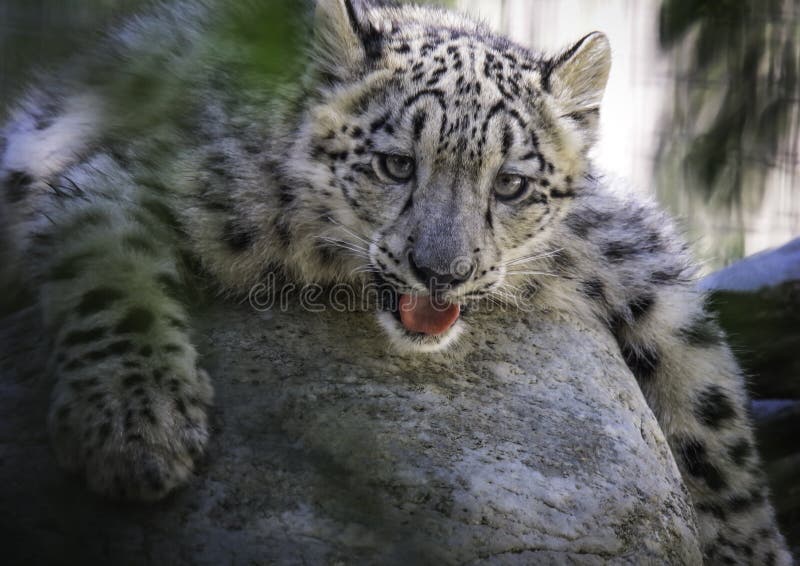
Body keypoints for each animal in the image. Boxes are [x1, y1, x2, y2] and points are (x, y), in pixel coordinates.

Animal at [0, 0, 792, 563]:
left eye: (510, 183)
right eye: (395, 164)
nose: (442, 271)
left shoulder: (627, 254)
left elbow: (711, 406)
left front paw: (746, 545)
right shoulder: (135, 180)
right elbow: (109, 283)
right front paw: (137, 431)